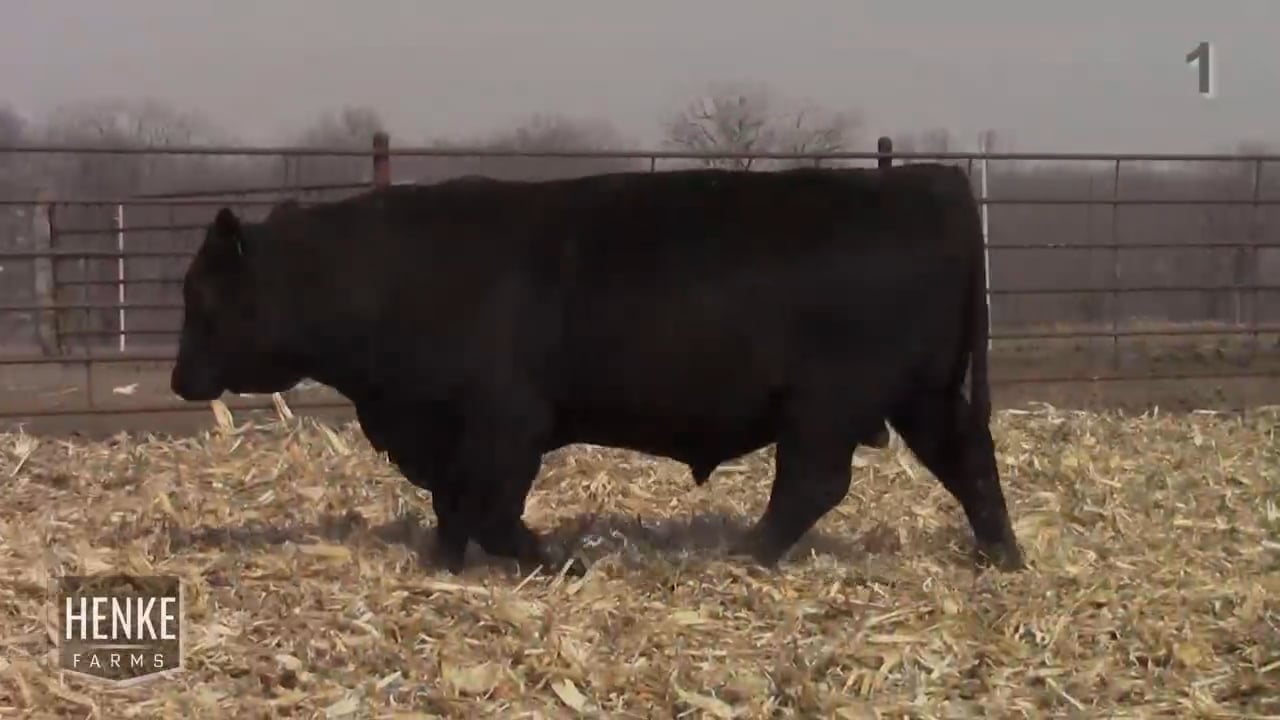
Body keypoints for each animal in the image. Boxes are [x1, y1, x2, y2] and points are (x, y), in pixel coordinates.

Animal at [169, 164, 1025, 577]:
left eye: (202, 297)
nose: (179, 380)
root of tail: (926, 179)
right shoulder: (446, 431)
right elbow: (453, 505)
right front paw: (443, 563)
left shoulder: (507, 420)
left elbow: (489, 506)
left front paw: (558, 562)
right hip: (922, 396)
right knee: (970, 463)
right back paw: (1004, 556)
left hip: (831, 402)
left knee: (813, 483)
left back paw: (743, 555)